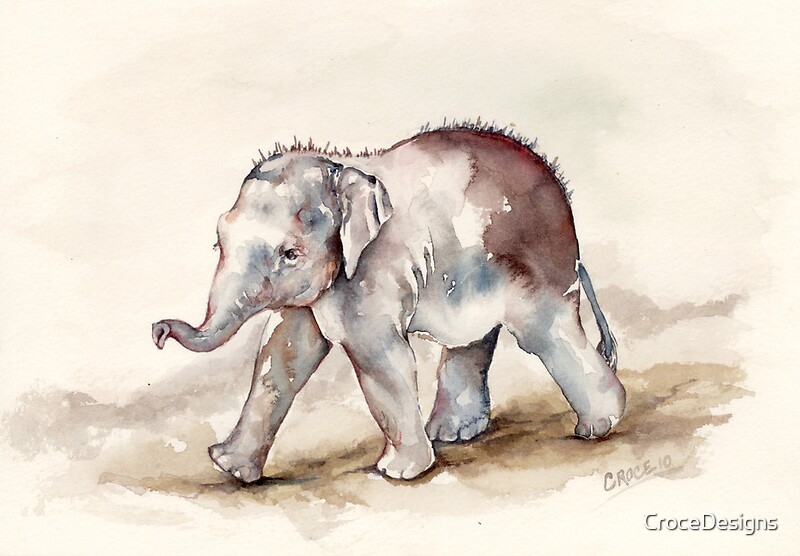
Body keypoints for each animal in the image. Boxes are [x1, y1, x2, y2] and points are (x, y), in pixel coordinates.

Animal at [152, 123, 625, 483]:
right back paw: (452, 435)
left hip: (536, 265)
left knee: (545, 332)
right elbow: (284, 351)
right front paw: (229, 468)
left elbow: (378, 355)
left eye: (290, 254)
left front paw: (398, 473)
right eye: (219, 240)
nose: (158, 332)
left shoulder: (372, 268)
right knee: (473, 338)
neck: (343, 169)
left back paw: (598, 427)